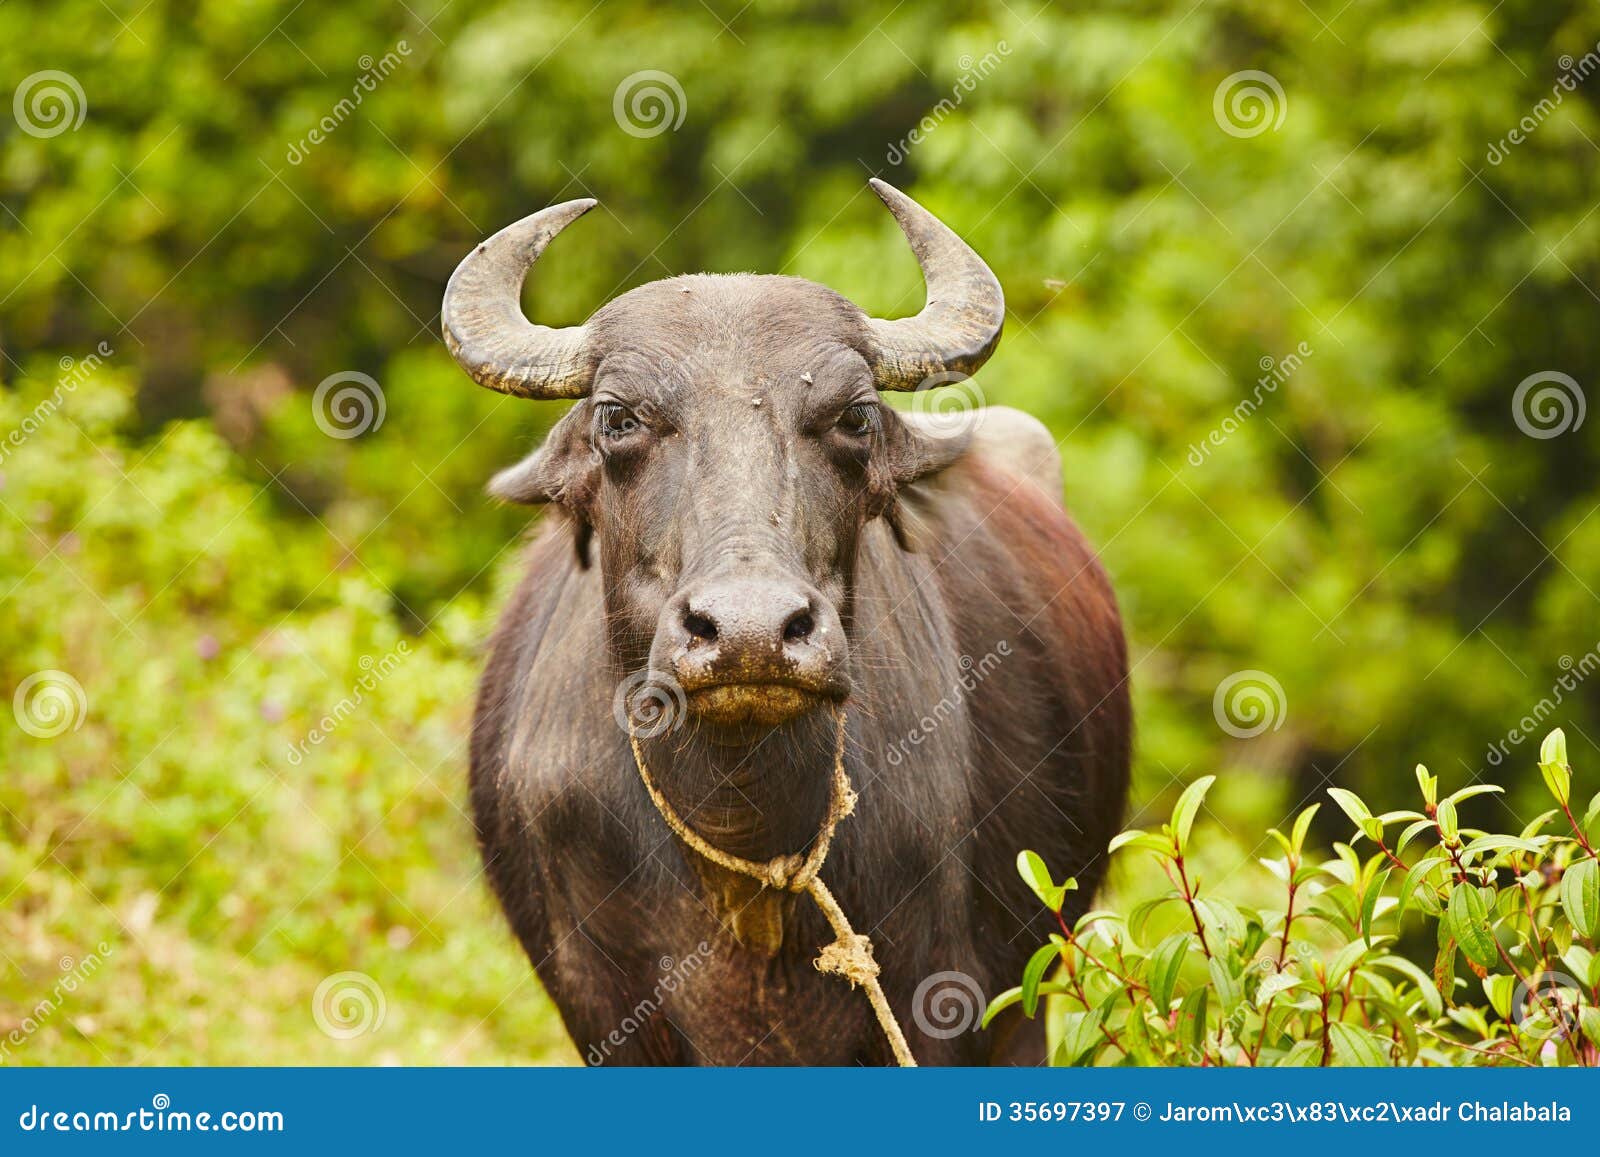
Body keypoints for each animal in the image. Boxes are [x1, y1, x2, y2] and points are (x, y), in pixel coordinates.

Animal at [444, 181, 1130, 1065]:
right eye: (618, 417)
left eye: (855, 416)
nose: (750, 631)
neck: (744, 834)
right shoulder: (599, 1002)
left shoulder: (947, 992)